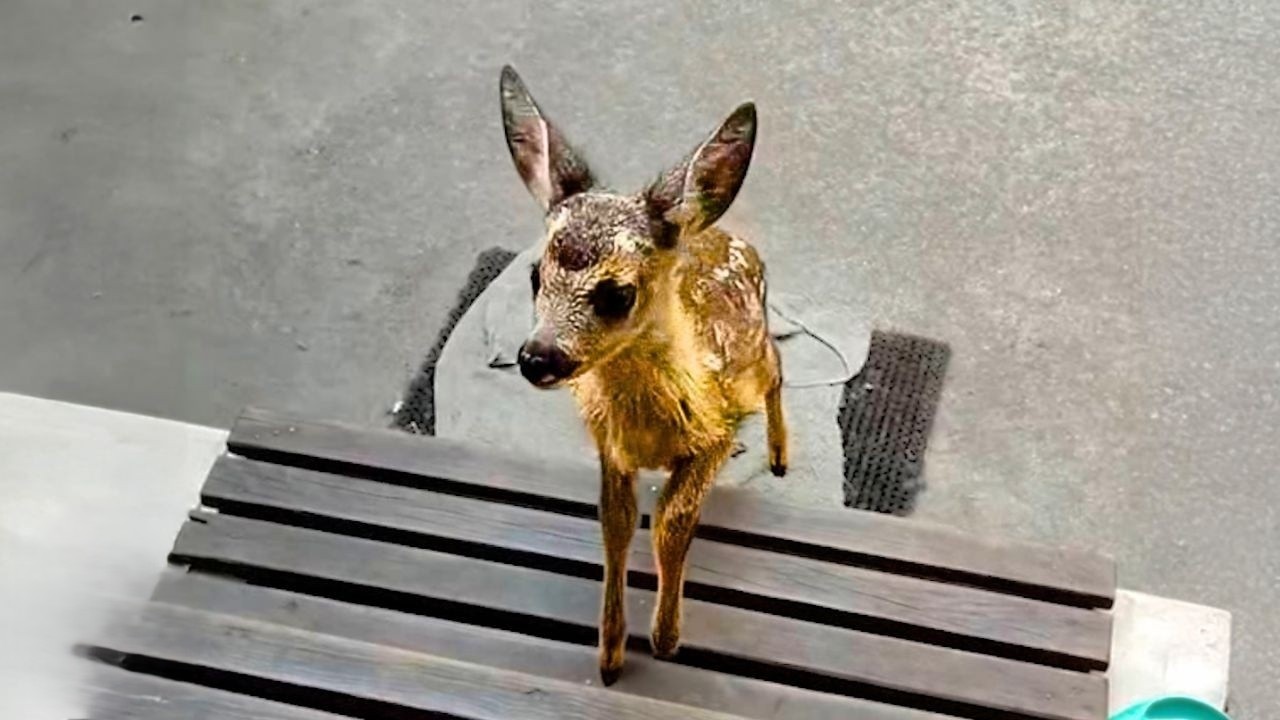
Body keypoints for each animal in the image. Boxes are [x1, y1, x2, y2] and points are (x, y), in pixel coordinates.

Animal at [500, 65, 787, 686]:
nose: (537, 357)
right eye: (534, 275)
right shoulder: (609, 445)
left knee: (778, 368)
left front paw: (665, 639)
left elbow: (673, 522)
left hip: (754, 356)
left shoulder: (712, 433)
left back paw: (780, 457)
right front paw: (609, 655)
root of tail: (728, 234)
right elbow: (616, 522)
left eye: (617, 293)